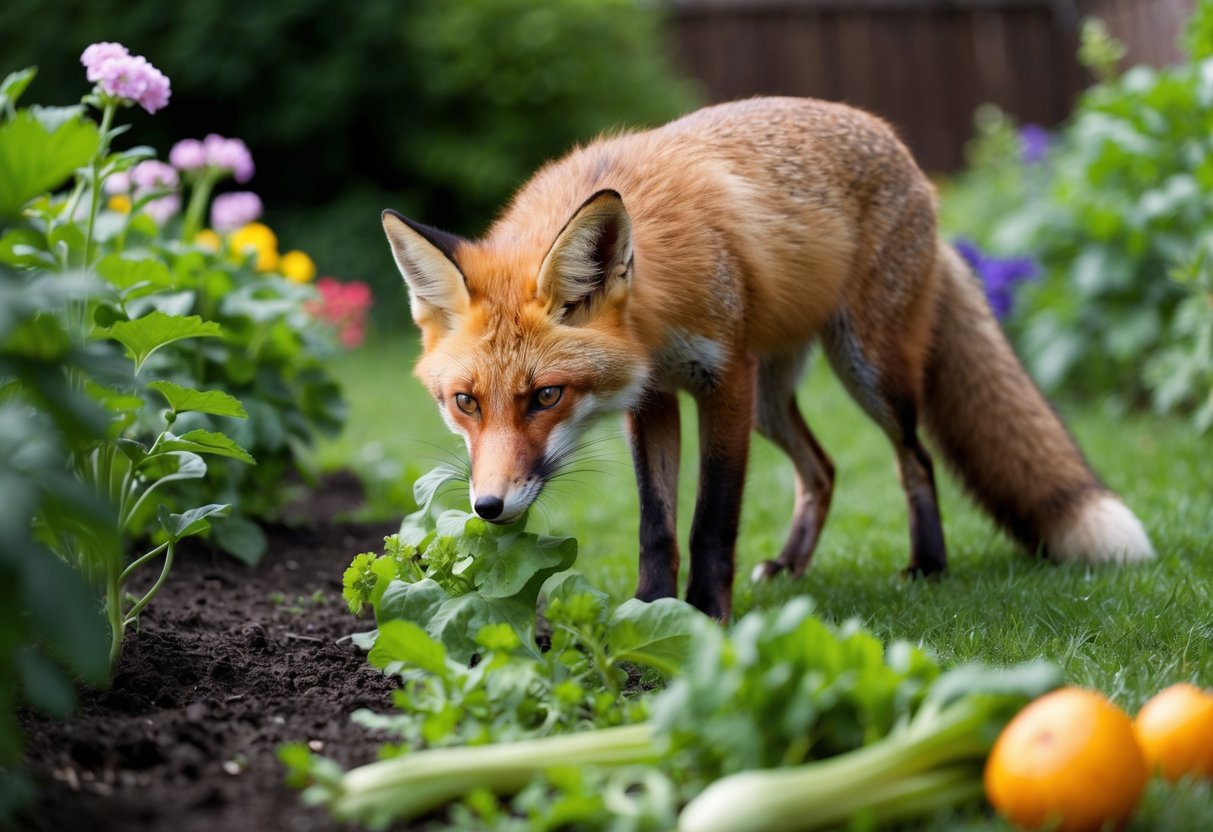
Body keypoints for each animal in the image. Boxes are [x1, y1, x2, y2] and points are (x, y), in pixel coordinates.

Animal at [381, 96, 1154, 619]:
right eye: (465, 402)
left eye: (547, 396)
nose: (488, 507)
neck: (656, 319)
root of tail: (902, 152)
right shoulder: (652, 399)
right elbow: (656, 527)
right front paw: (651, 613)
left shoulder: (724, 380)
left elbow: (711, 521)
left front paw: (703, 619)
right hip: (774, 403)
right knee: (824, 469)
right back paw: (790, 565)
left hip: (867, 372)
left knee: (915, 460)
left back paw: (927, 565)